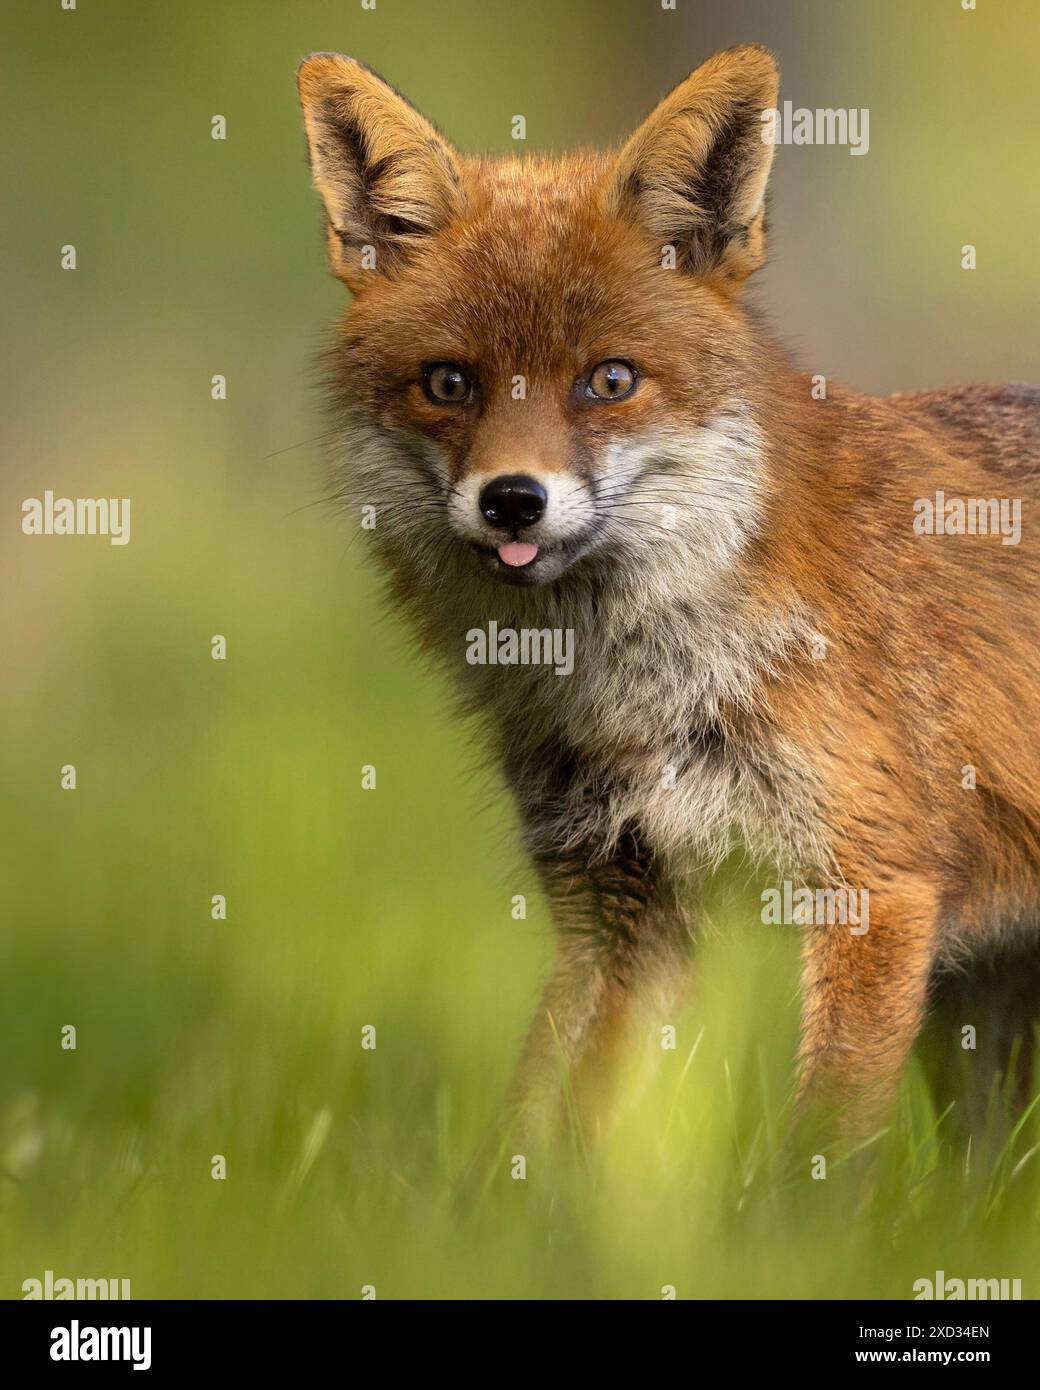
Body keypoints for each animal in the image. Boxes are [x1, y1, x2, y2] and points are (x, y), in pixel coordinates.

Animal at [296, 44, 1040, 1148]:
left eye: (608, 381)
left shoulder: (874, 882)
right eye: (449, 383)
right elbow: (549, 1125)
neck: (637, 693)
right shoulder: (614, 902)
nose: (511, 501)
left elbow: (818, 1148)